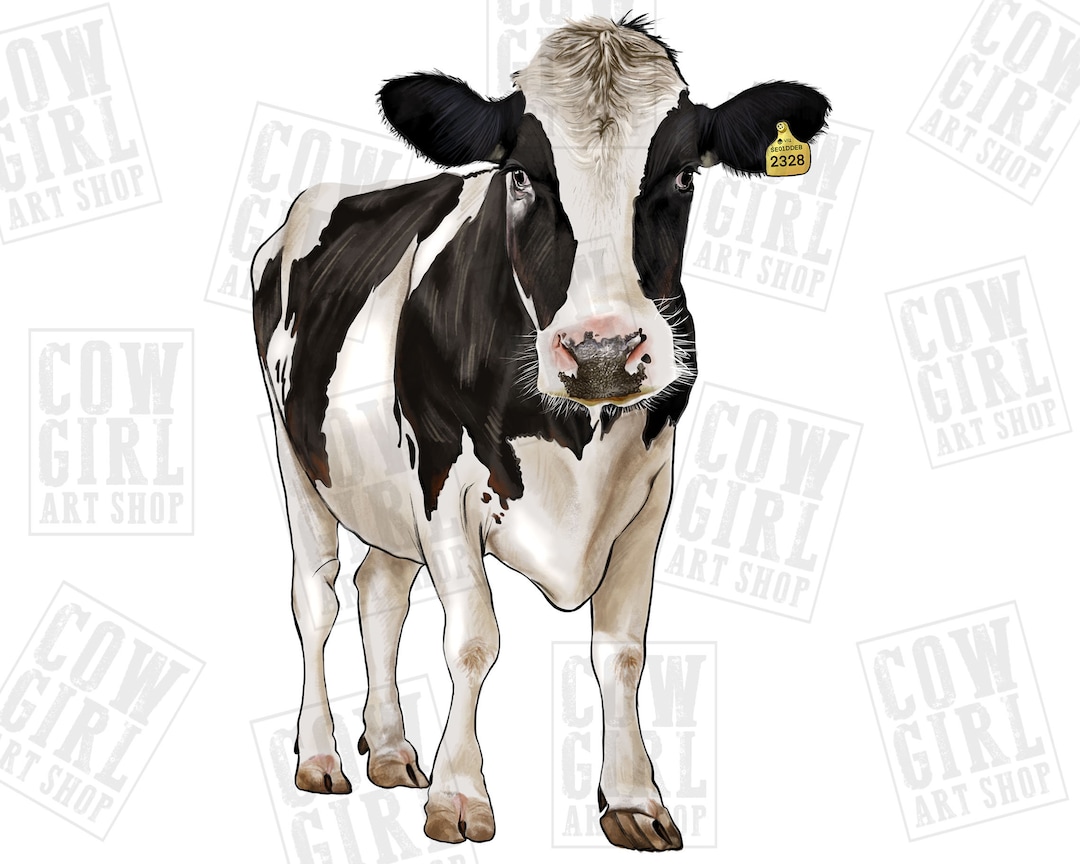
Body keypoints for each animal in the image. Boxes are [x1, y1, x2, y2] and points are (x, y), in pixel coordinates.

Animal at [252, 14, 828, 851]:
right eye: (521, 176)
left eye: (684, 176)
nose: (602, 351)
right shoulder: (443, 481)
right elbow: (472, 640)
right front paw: (460, 797)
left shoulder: (651, 492)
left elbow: (622, 650)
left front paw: (634, 801)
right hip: (297, 458)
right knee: (317, 599)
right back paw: (321, 756)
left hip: (386, 490)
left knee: (378, 592)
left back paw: (389, 750)